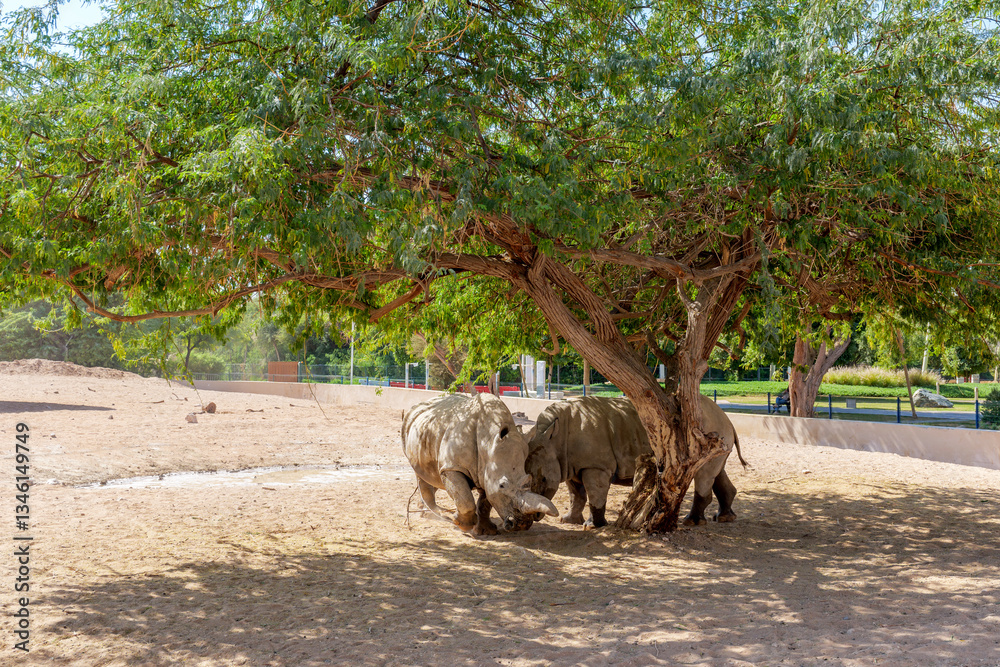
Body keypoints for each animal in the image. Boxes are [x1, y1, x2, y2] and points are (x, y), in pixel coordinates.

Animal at [403, 393, 559, 536]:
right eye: (502, 485)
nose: (522, 524)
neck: (488, 442)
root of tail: (418, 405)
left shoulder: (487, 472)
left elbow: (485, 502)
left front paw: (487, 531)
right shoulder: (453, 466)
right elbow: (465, 498)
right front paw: (463, 525)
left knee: (434, 474)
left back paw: (430, 511)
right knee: (423, 474)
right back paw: (431, 514)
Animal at [525, 395, 746, 529]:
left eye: (542, 480)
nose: (533, 518)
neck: (554, 438)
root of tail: (726, 417)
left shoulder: (596, 466)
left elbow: (595, 494)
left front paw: (592, 526)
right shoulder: (570, 465)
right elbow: (576, 495)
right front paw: (569, 521)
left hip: (706, 430)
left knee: (704, 475)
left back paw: (691, 522)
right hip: (716, 437)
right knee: (715, 471)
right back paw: (725, 518)